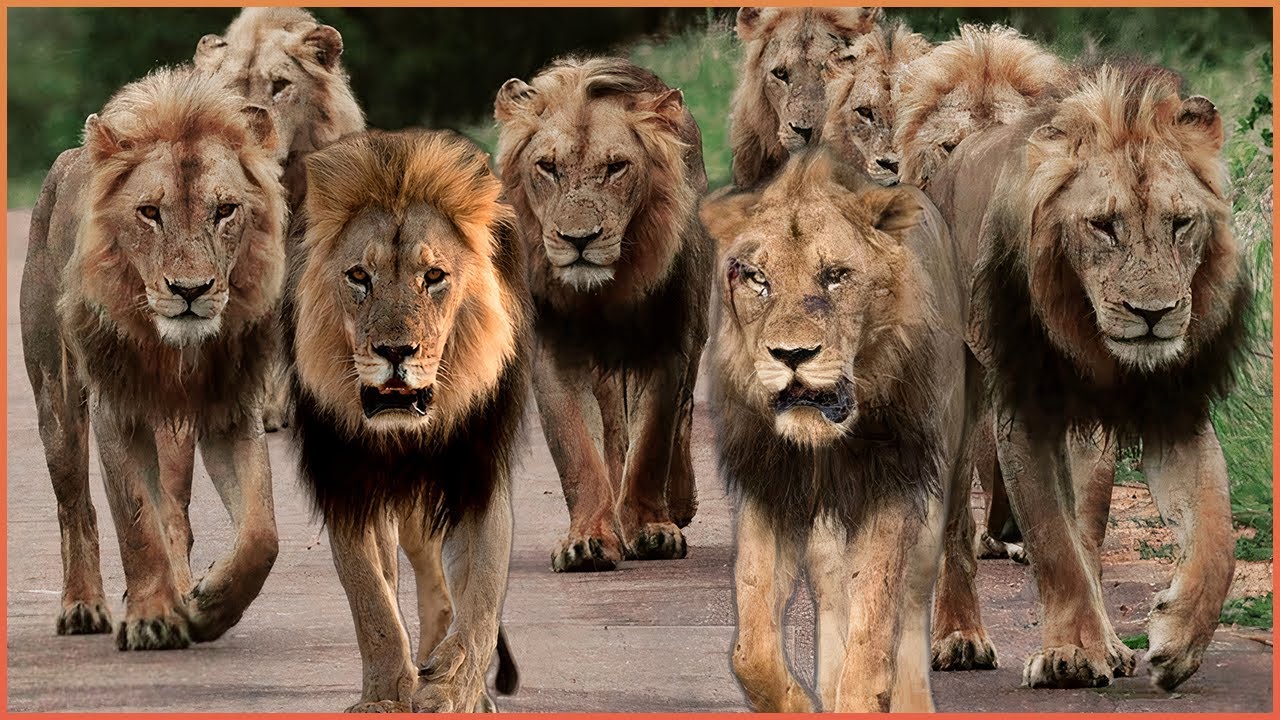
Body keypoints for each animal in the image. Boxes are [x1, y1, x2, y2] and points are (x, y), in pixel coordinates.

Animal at [20, 66, 286, 649]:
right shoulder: (117, 409)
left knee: (176, 515)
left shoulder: (232, 411)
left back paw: (185, 588)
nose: (190, 290)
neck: (176, 351)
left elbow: (260, 534)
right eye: (149, 213)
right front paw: (153, 619)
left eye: (224, 210)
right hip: (56, 401)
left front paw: (207, 605)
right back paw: (82, 607)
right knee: (76, 507)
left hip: (174, 435)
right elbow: (135, 523)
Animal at [286, 129, 529, 712]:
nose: (396, 351)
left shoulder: (478, 475)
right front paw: (384, 694)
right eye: (359, 277)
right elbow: (372, 600)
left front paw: (455, 690)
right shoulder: (348, 482)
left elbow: (481, 596)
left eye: (434, 276)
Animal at [494, 56, 713, 572]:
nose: (579, 240)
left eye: (616, 167)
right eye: (548, 167)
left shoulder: (666, 346)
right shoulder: (554, 355)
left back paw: (677, 504)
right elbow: (577, 452)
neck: (603, 294)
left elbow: (652, 442)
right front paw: (588, 539)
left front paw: (653, 530)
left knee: (683, 415)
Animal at [700, 147, 972, 712]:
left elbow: (875, 624)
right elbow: (751, 647)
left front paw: (865, 695)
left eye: (836, 276)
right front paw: (801, 701)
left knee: (912, 597)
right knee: (830, 587)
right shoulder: (768, 486)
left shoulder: (893, 482)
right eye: (756, 278)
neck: (823, 446)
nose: (792, 355)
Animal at [926, 62, 1249, 691]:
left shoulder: (1174, 408)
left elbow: (1215, 538)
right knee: (956, 530)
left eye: (1181, 223)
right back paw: (959, 639)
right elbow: (1053, 540)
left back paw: (1113, 643)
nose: (1154, 314)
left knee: (1089, 532)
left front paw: (1178, 643)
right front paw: (1072, 655)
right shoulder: (1024, 416)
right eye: (1103, 226)